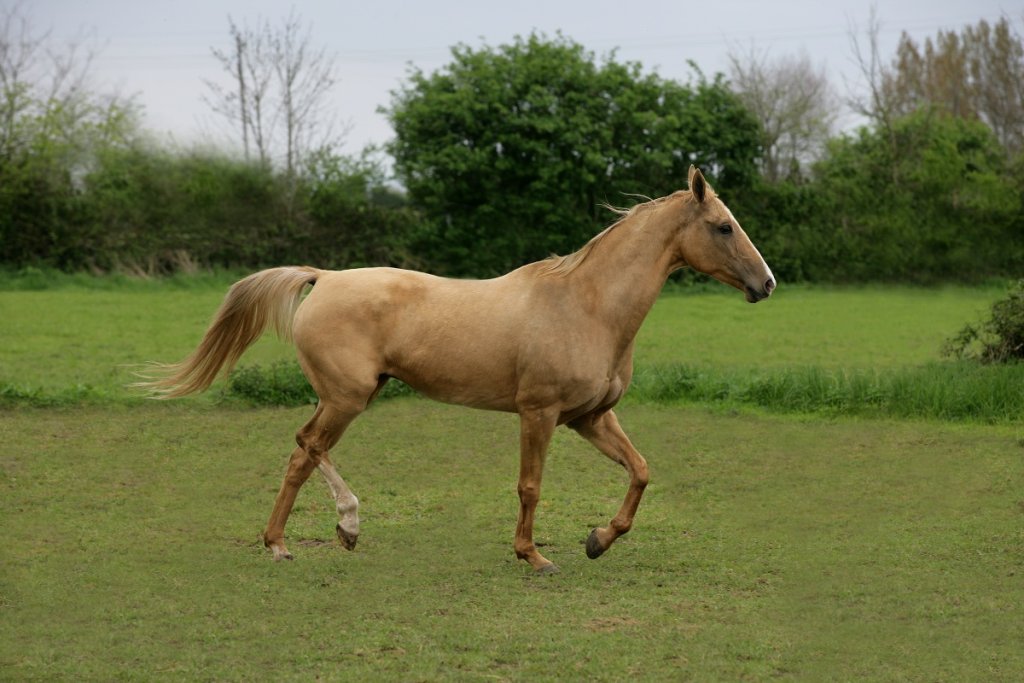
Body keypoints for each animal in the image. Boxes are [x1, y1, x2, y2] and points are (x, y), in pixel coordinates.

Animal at [145, 166, 775, 574]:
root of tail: (323, 277)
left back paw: (292, 541)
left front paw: (597, 540)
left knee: (300, 454)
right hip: (347, 398)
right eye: (723, 226)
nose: (766, 284)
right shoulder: (538, 413)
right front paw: (534, 556)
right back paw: (338, 527)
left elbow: (640, 471)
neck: (588, 306)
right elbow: (530, 486)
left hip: (345, 397)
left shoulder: (591, 417)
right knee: (308, 447)